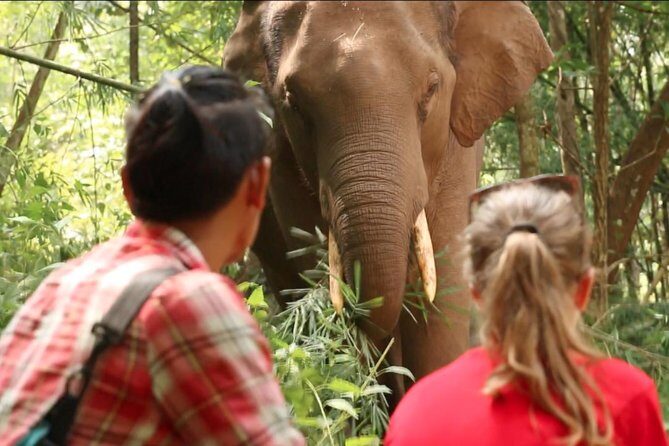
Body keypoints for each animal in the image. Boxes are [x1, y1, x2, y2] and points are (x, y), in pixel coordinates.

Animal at [223, 1, 553, 401]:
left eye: (432, 88)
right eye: (293, 101)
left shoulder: (456, 150)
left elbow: (441, 295)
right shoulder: (282, 159)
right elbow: (315, 269)